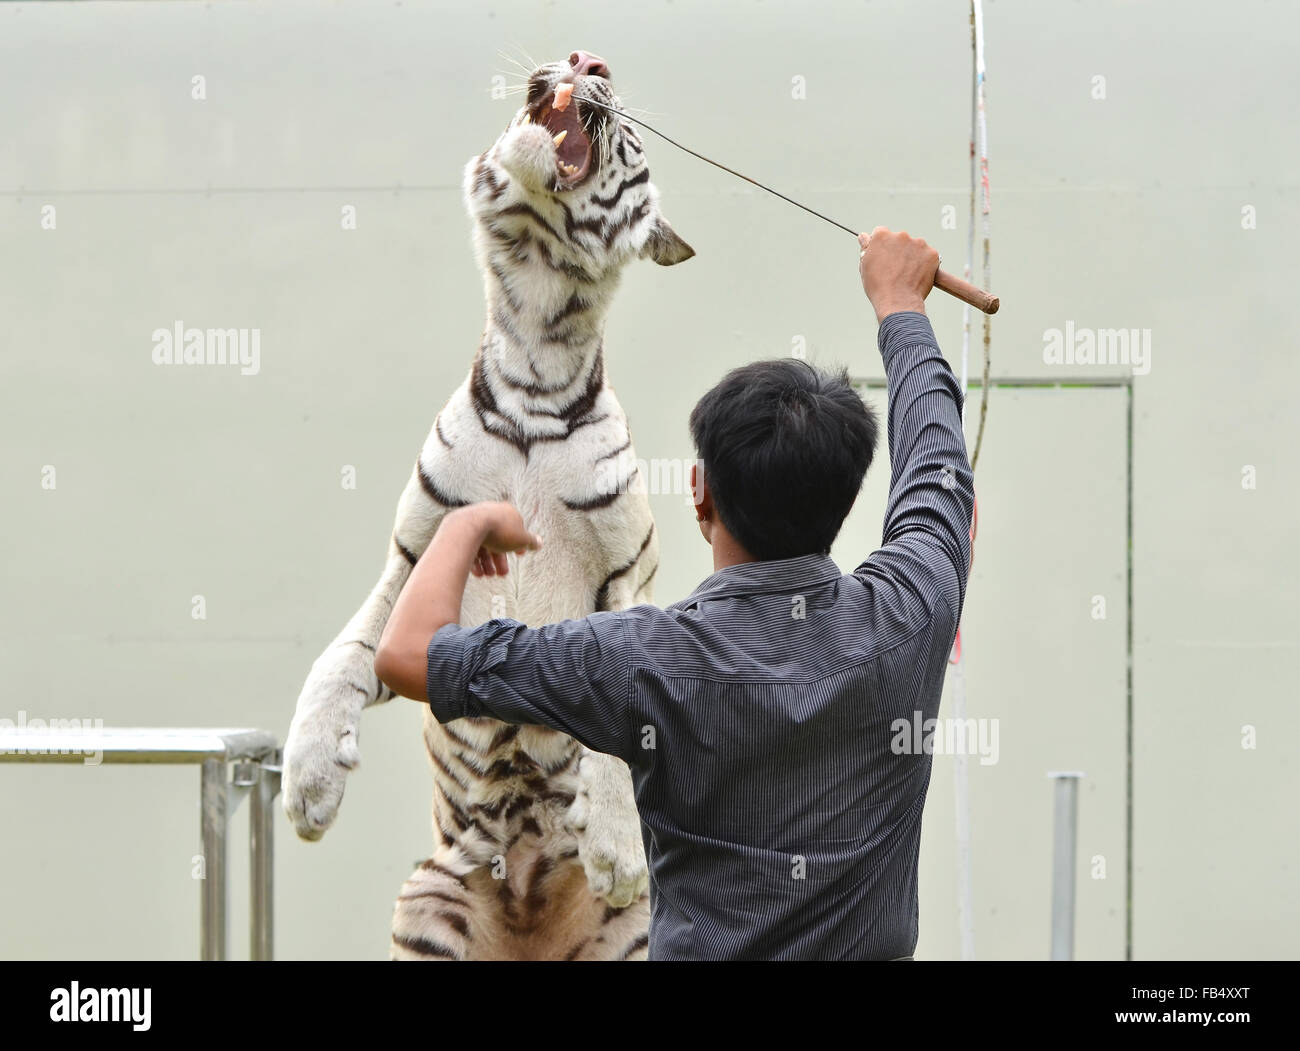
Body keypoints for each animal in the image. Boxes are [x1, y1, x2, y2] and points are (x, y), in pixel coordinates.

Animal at [280, 49, 694, 961]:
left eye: (630, 135)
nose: (585, 60)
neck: (537, 344)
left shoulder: (626, 579)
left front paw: (617, 846)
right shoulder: (409, 567)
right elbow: (337, 659)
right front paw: (308, 781)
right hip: (426, 902)